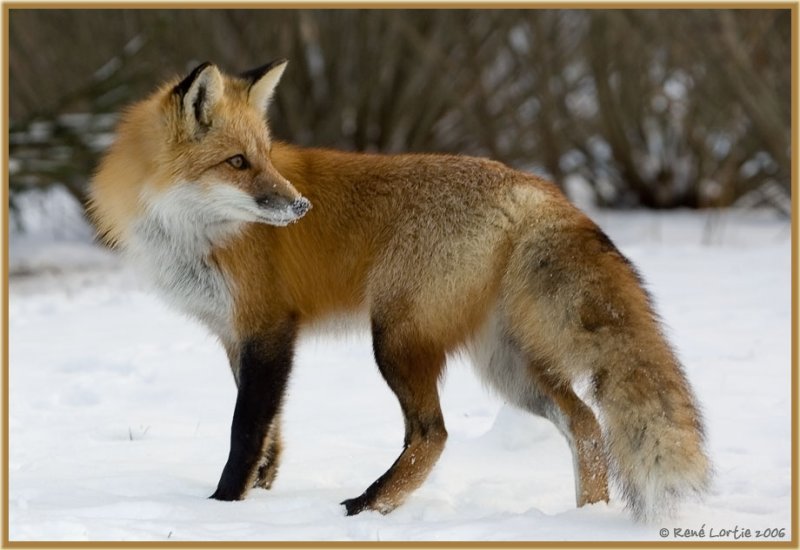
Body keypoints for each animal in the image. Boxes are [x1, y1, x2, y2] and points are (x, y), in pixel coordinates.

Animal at [88, 59, 711, 522]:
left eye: (262, 156)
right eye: (237, 162)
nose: (300, 206)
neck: (192, 235)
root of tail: (532, 187)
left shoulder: (268, 328)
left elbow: (246, 429)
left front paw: (222, 506)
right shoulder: (235, 335)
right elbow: (272, 433)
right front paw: (259, 496)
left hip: (396, 338)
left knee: (433, 433)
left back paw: (369, 505)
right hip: (503, 364)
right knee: (584, 423)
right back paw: (585, 517)